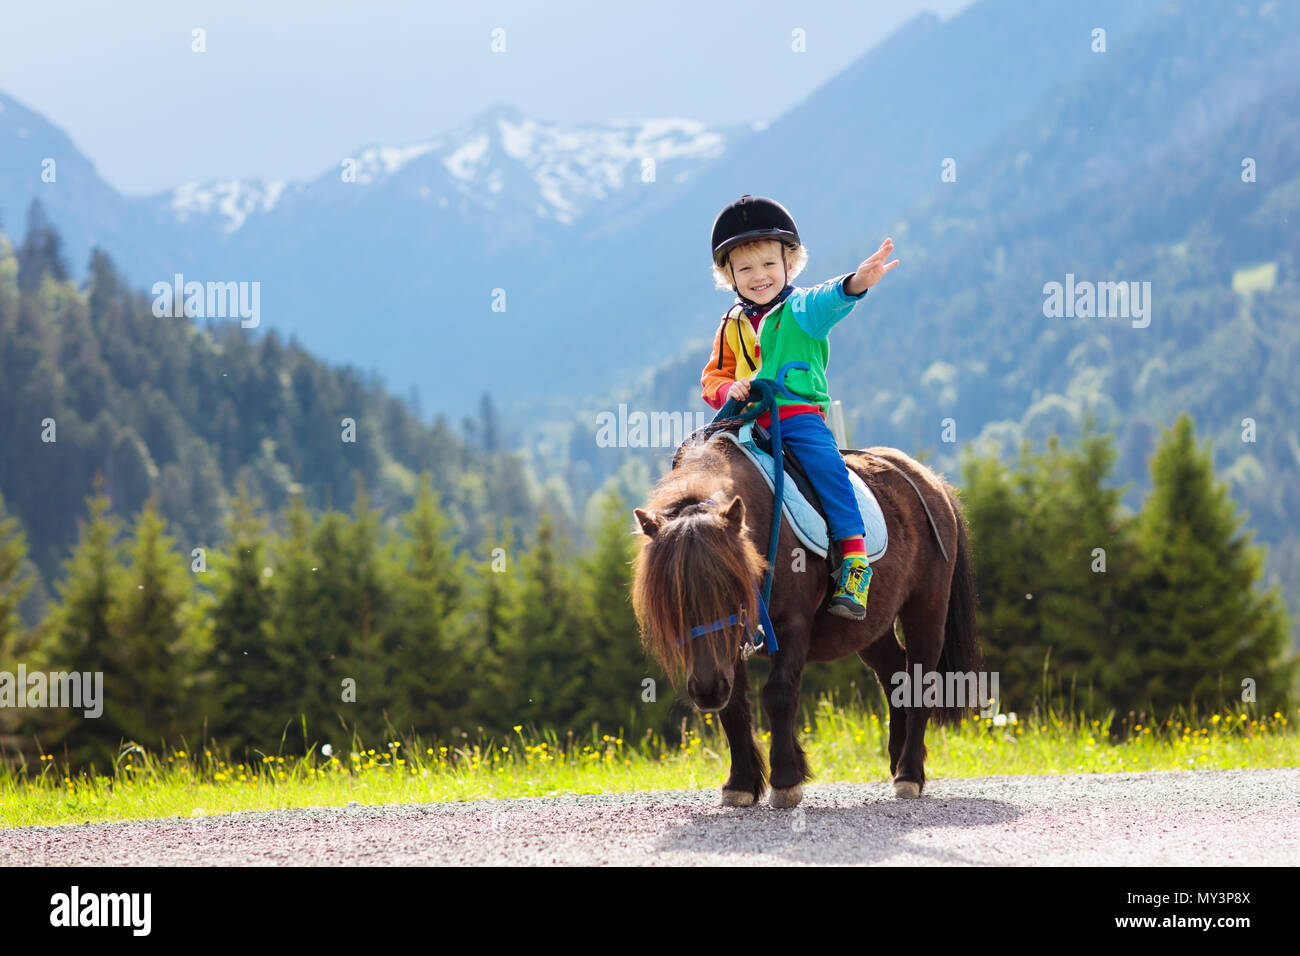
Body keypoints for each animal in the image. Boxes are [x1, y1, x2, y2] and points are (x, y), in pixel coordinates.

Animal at [631, 430, 982, 808]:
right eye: (671, 598)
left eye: (731, 589)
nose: (707, 690)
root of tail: (931, 481)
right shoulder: (727, 648)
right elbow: (734, 707)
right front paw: (741, 782)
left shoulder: (792, 627)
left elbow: (779, 695)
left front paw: (786, 778)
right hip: (871, 630)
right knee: (894, 676)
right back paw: (897, 759)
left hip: (926, 610)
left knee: (920, 683)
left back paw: (909, 773)